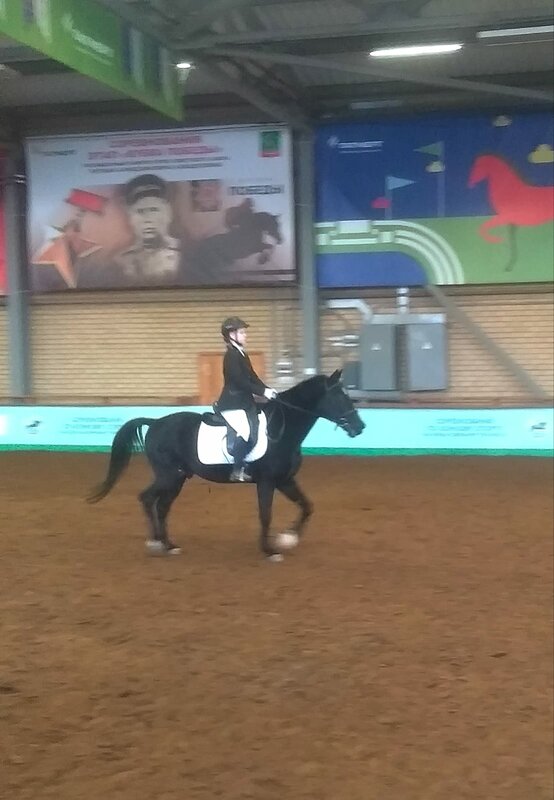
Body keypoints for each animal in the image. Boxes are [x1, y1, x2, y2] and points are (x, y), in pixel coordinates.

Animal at [87, 371, 365, 561]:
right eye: (339, 396)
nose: (360, 427)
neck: (282, 428)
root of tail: (155, 422)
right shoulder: (267, 482)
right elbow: (266, 514)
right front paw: (269, 550)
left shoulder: (285, 480)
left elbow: (307, 506)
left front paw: (288, 539)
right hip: (168, 476)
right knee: (147, 498)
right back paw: (156, 543)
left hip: (178, 478)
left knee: (162, 505)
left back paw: (169, 545)